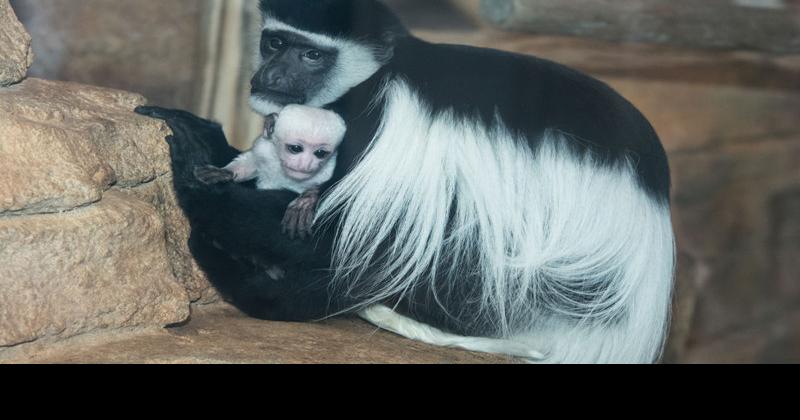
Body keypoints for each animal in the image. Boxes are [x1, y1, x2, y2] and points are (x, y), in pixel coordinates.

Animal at [193, 104, 346, 240]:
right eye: (296, 148)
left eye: (320, 153)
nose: (305, 164)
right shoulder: (263, 149)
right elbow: (251, 162)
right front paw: (224, 173)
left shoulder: (328, 170)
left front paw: (306, 202)